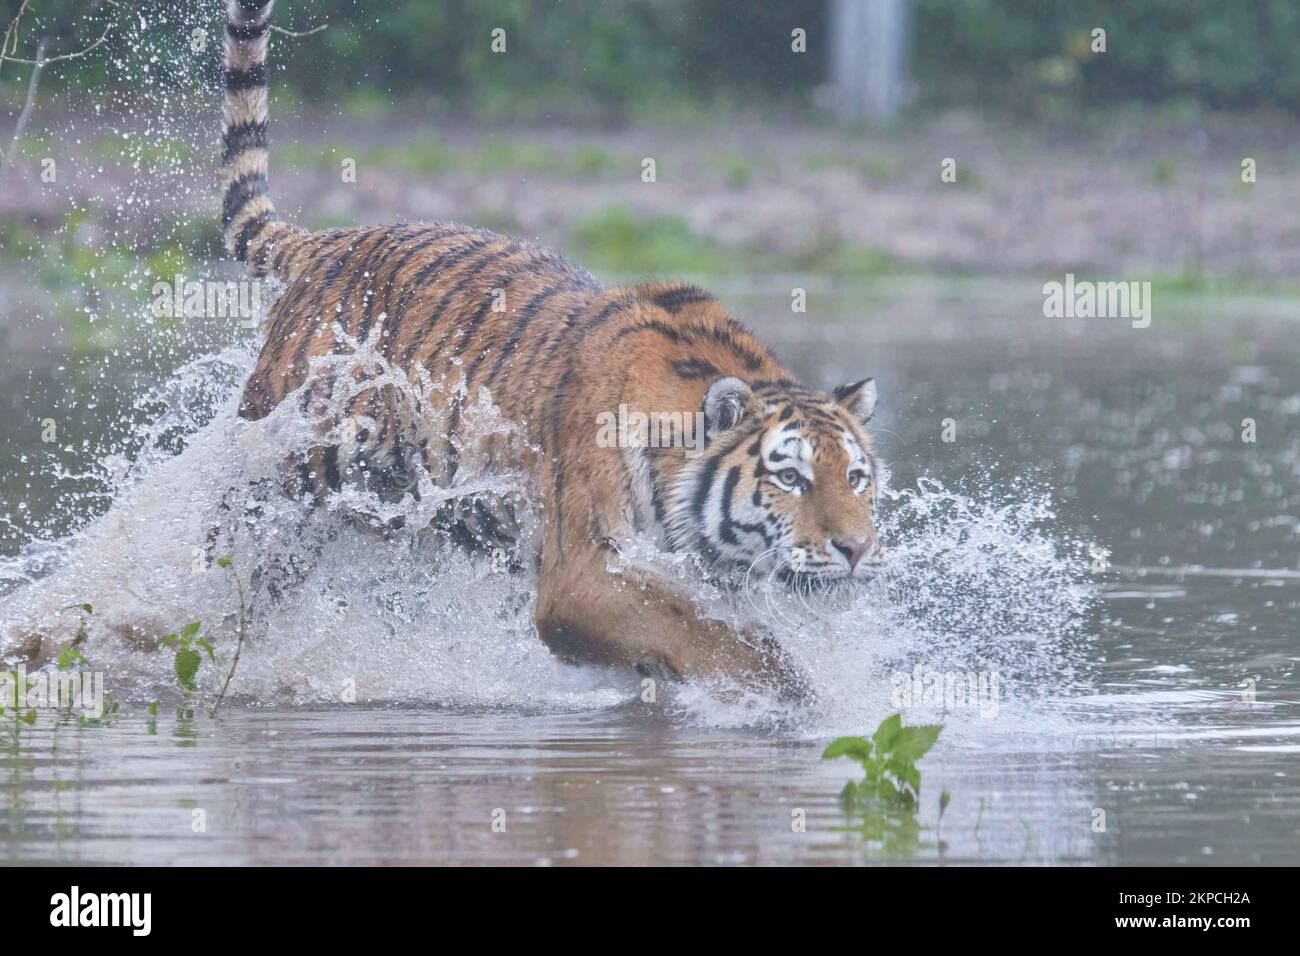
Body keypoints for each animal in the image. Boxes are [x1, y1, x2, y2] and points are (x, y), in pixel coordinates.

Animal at [221, 0, 885, 701]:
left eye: (856, 477)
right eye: (790, 478)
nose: (857, 550)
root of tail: (326, 242)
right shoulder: (582, 578)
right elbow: (723, 643)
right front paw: (800, 701)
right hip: (279, 485)